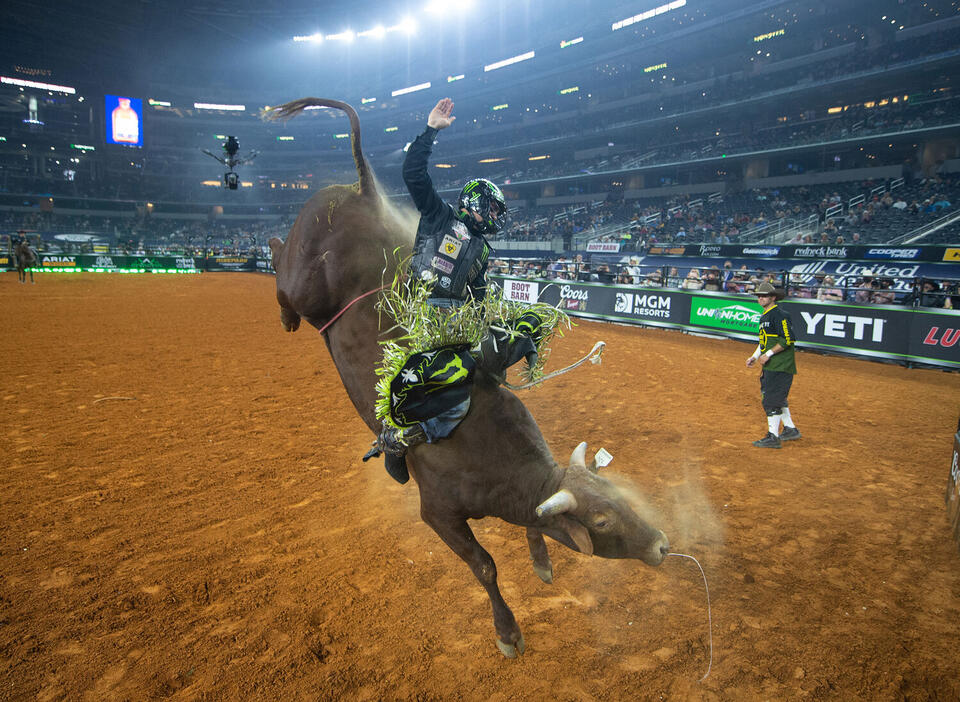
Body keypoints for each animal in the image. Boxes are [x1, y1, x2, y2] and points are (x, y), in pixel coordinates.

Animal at [266, 98, 669, 657]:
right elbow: (485, 566)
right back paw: (277, 285)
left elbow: (532, 531)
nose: (662, 544)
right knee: (281, 270)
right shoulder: (437, 512)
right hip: (304, 277)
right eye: (603, 520)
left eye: (618, 497)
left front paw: (542, 562)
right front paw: (508, 633)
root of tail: (366, 190)